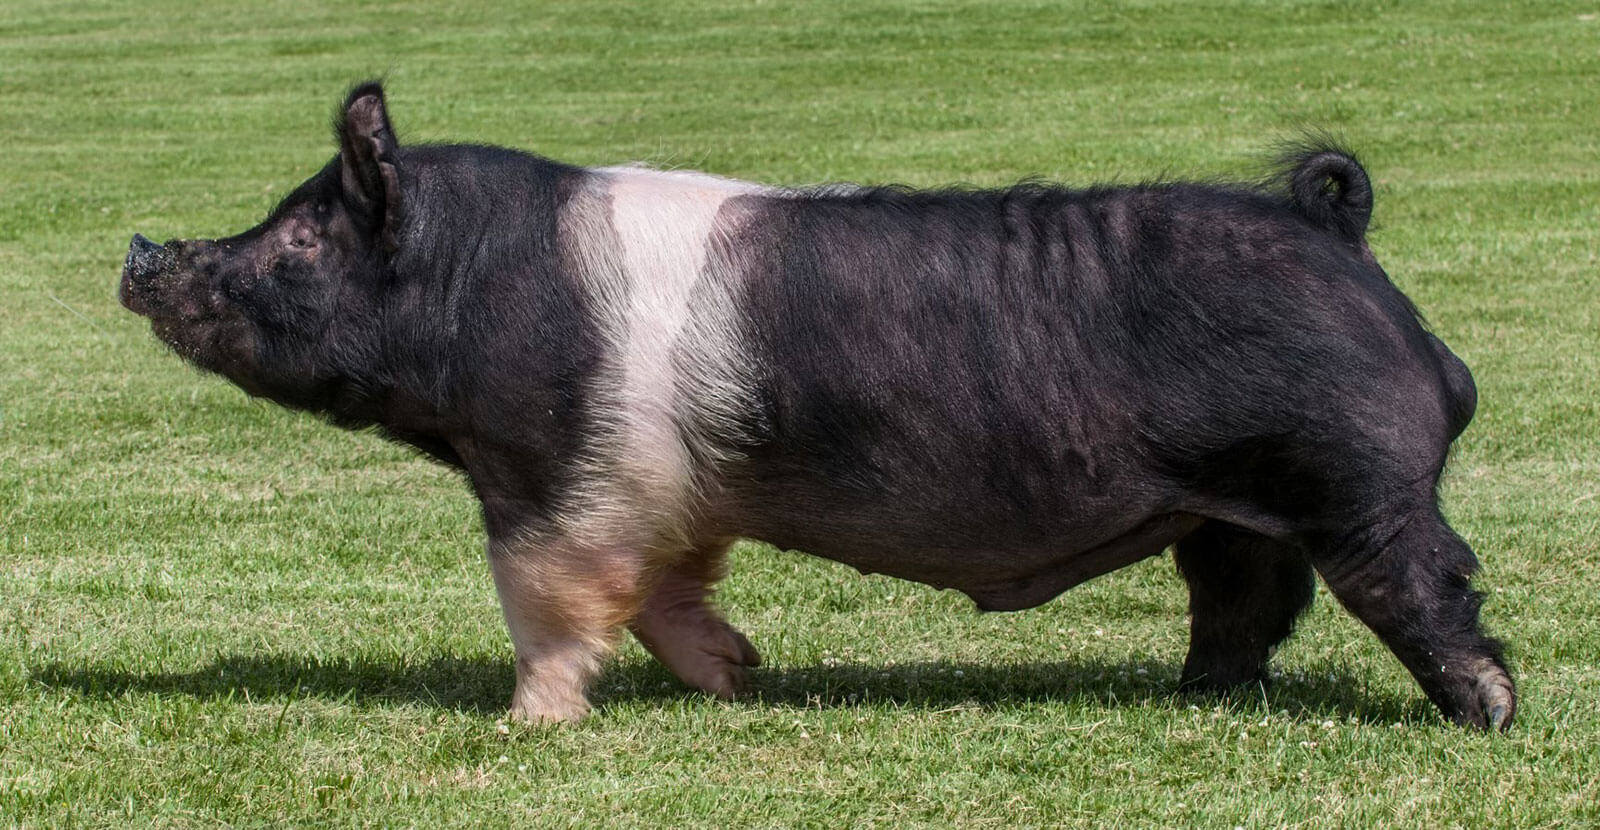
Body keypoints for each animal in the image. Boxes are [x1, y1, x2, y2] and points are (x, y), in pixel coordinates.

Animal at [120, 81, 1515, 730]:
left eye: (300, 237)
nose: (140, 250)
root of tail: (1334, 231)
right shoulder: (668, 489)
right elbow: (672, 588)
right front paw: (741, 679)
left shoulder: (562, 477)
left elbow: (551, 596)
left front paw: (525, 724)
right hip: (1233, 506)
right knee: (1244, 600)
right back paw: (1191, 697)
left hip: (1357, 473)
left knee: (1420, 582)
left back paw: (1487, 714)